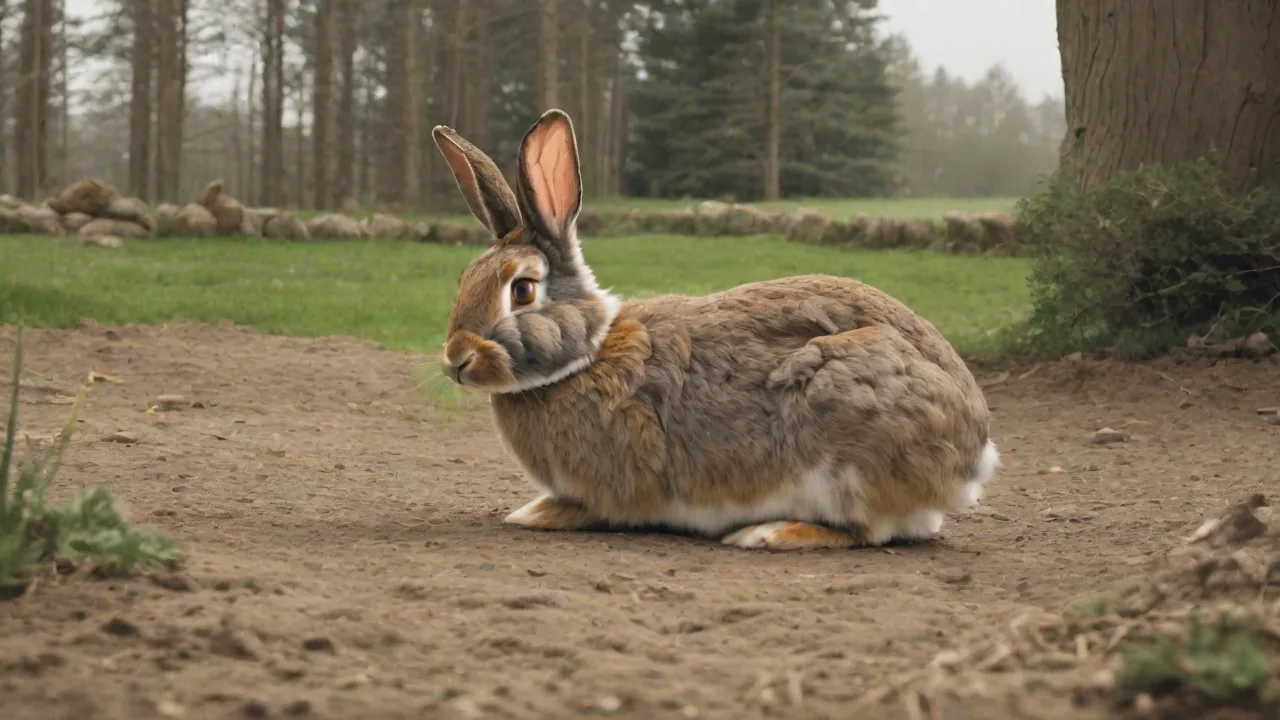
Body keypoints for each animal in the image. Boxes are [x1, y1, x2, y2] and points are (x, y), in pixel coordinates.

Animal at [431, 109, 998, 551]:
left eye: (523, 290)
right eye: (463, 279)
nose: (457, 359)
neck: (586, 356)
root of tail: (974, 456)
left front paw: (536, 513)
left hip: (845, 443)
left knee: (865, 530)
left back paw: (768, 533)